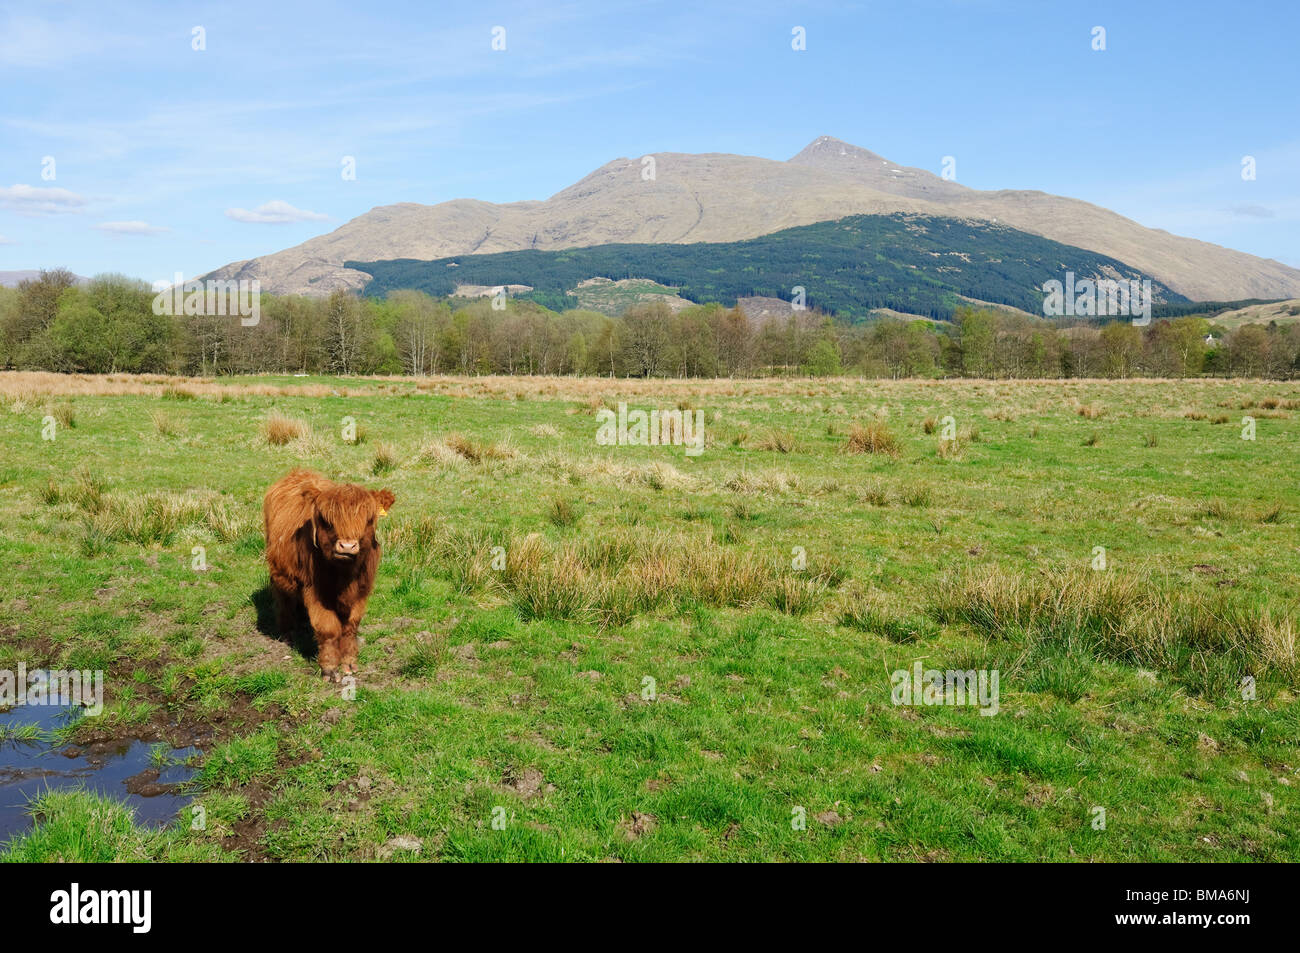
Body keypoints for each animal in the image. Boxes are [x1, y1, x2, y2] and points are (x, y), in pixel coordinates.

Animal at [263, 469, 395, 681]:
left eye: (369, 519)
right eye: (326, 521)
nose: (347, 546)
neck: (345, 577)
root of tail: (297, 472)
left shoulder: (361, 592)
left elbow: (351, 626)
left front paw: (349, 663)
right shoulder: (316, 592)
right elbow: (328, 629)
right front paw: (330, 668)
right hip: (277, 573)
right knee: (283, 599)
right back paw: (287, 633)